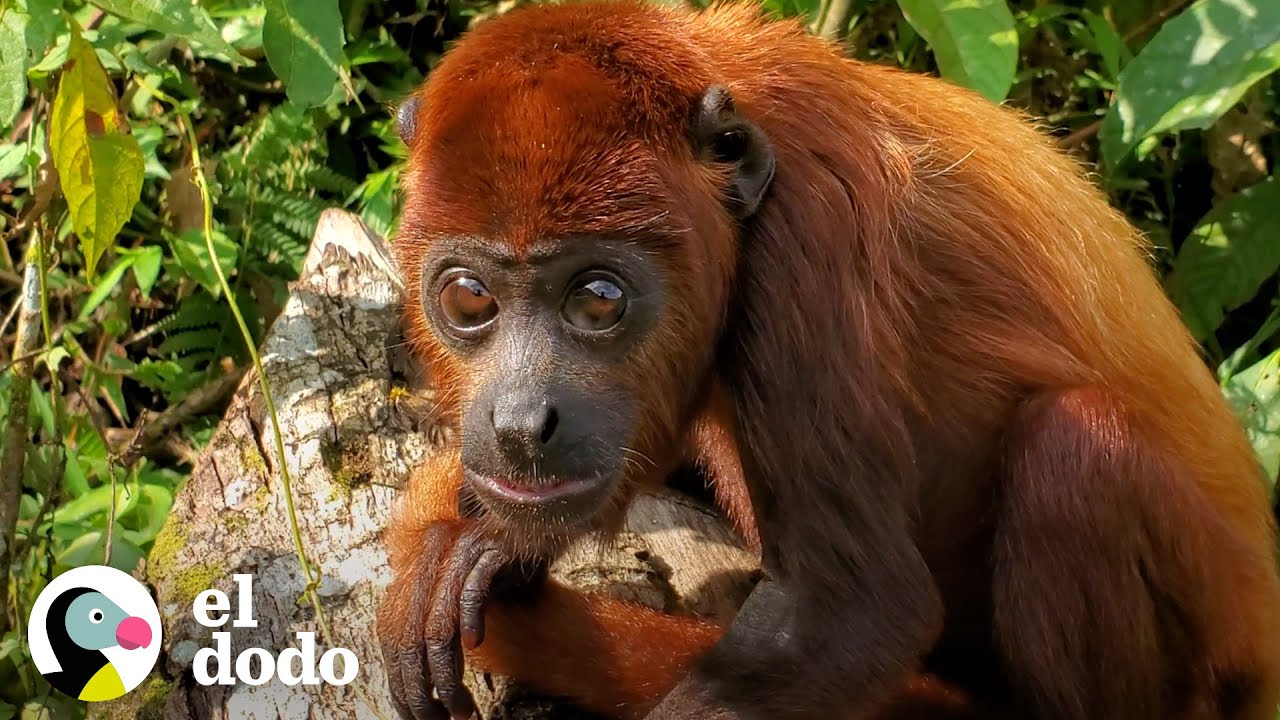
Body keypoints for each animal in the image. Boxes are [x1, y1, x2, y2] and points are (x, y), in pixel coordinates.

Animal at [375, 2, 1280, 719]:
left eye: (599, 299)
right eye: (469, 299)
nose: (521, 422)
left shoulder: (810, 234)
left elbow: (843, 614)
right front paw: (484, 538)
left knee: (1075, 448)